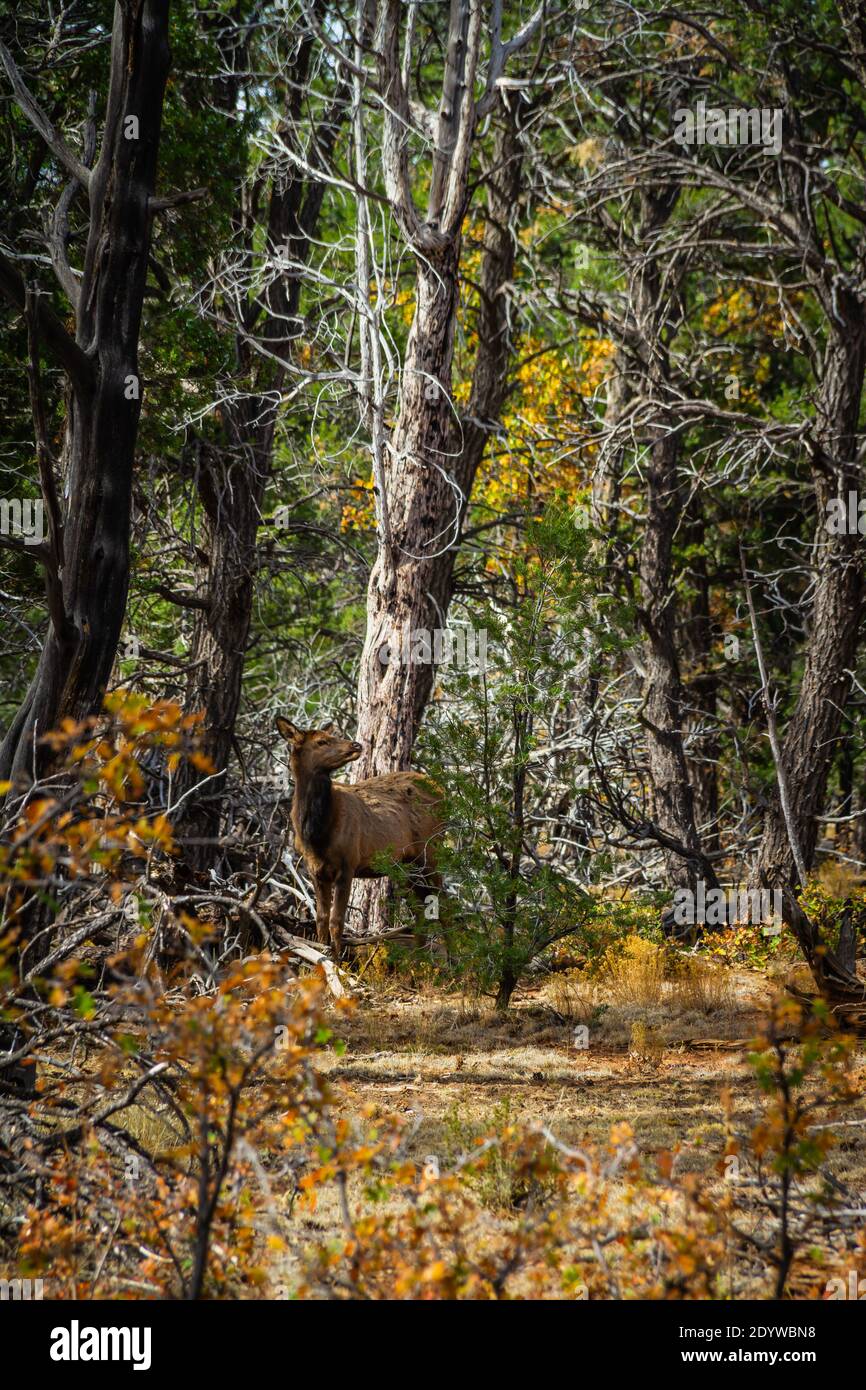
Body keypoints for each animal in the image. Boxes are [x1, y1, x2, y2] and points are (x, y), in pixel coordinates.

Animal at [276, 717, 443, 956]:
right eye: (321, 741)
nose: (355, 744)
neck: (316, 833)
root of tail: (444, 791)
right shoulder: (315, 870)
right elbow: (321, 918)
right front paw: (324, 951)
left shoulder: (348, 863)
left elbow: (336, 921)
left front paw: (337, 960)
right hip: (407, 865)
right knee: (421, 910)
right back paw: (418, 959)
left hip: (431, 852)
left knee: (445, 905)